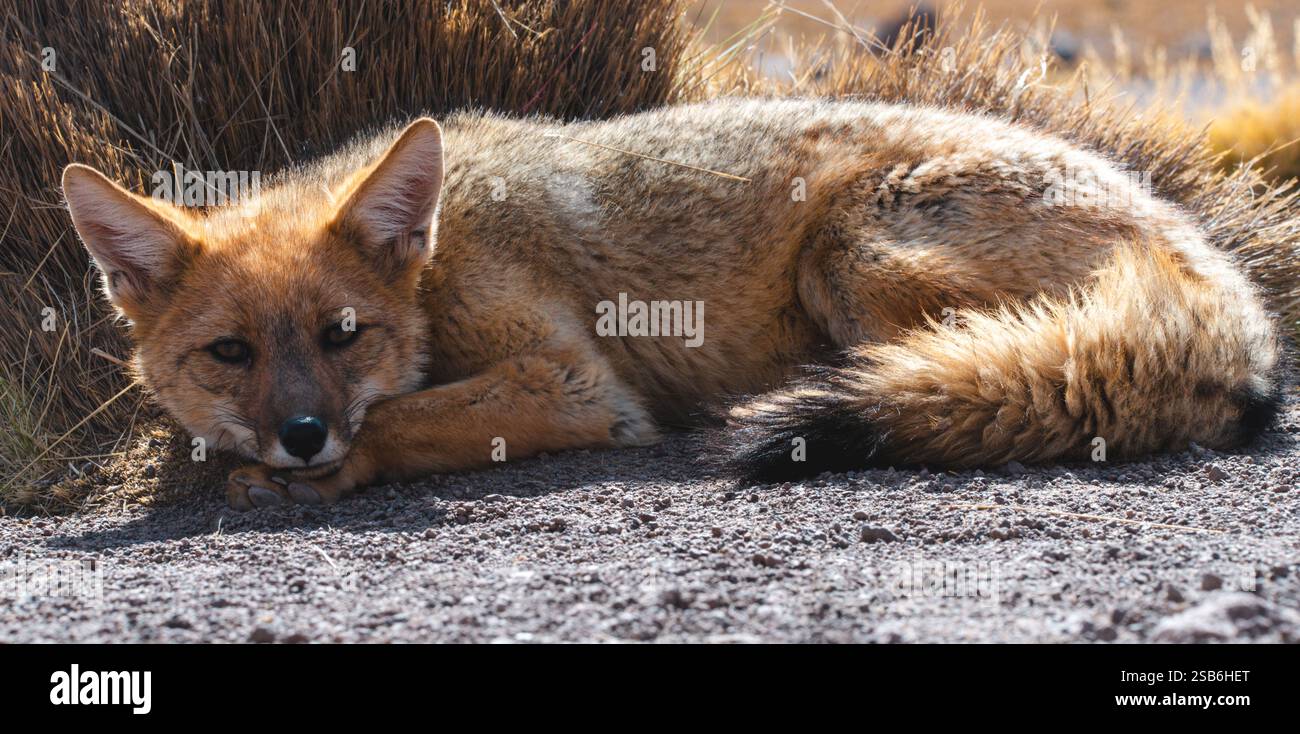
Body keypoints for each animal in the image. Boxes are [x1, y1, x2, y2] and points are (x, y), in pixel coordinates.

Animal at [61, 98, 1283, 510]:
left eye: (341, 335)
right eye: (229, 353)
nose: (305, 432)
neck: (442, 253)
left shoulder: (573, 383)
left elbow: (409, 415)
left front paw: (328, 469)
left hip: (848, 253)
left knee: (957, 368)